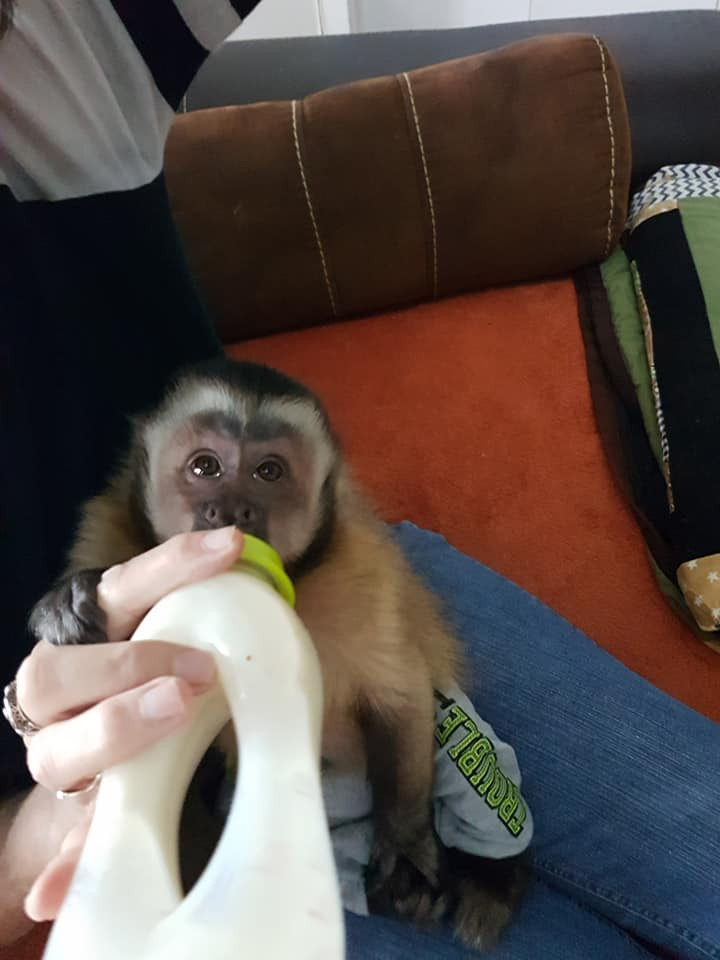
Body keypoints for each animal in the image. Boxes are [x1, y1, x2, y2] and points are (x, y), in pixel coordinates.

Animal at [28, 356, 528, 950]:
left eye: (269, 472)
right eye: (205, 466)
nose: (232, 509)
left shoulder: (362, 573)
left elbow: (400, 694)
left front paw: (406, 847)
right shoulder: (103, 535)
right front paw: (71, 600)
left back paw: (492, 879)